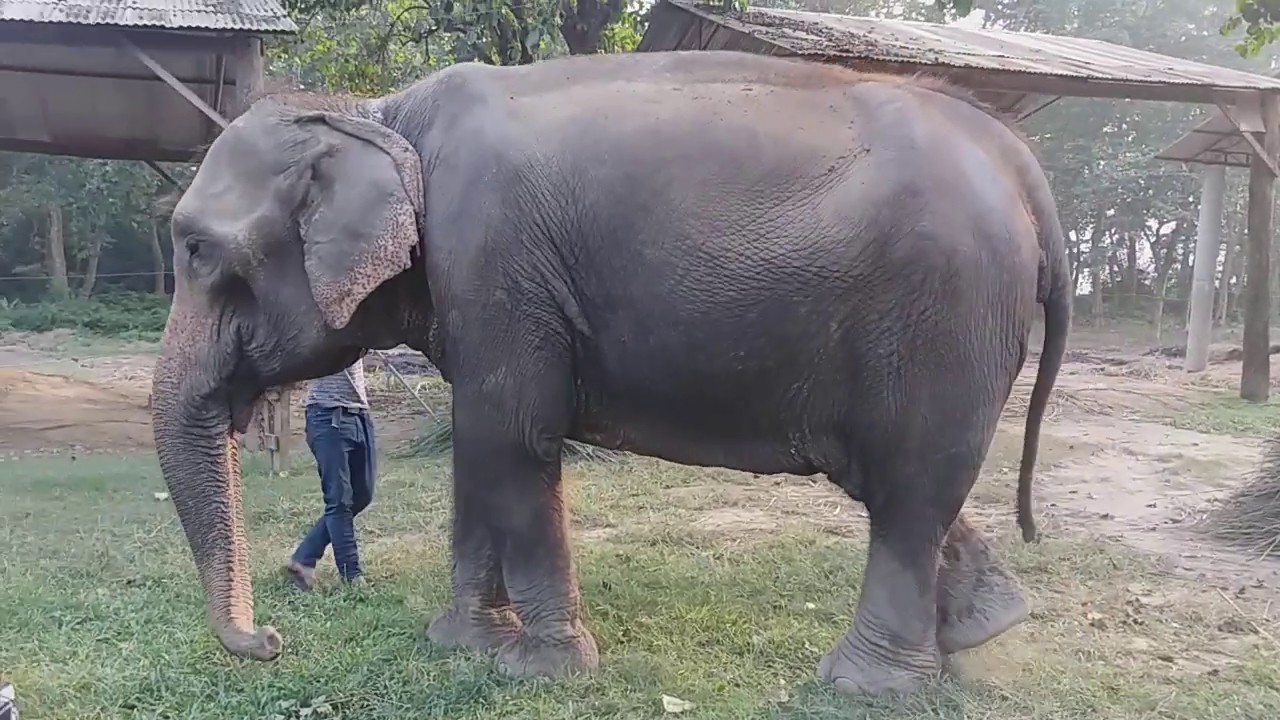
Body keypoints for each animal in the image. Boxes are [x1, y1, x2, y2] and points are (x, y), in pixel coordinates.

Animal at [149, 49, 1070, 696]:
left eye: (196, 250)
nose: (271, 641)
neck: (378, 112)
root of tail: (1016, 156)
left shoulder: (493, 262)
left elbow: (510, 436)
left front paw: (541, 672)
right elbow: (482, 446)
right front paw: (463, 645)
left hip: (942, 314)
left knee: (907, 486)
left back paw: (864, 684)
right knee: (903, 481)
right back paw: (982, 628)